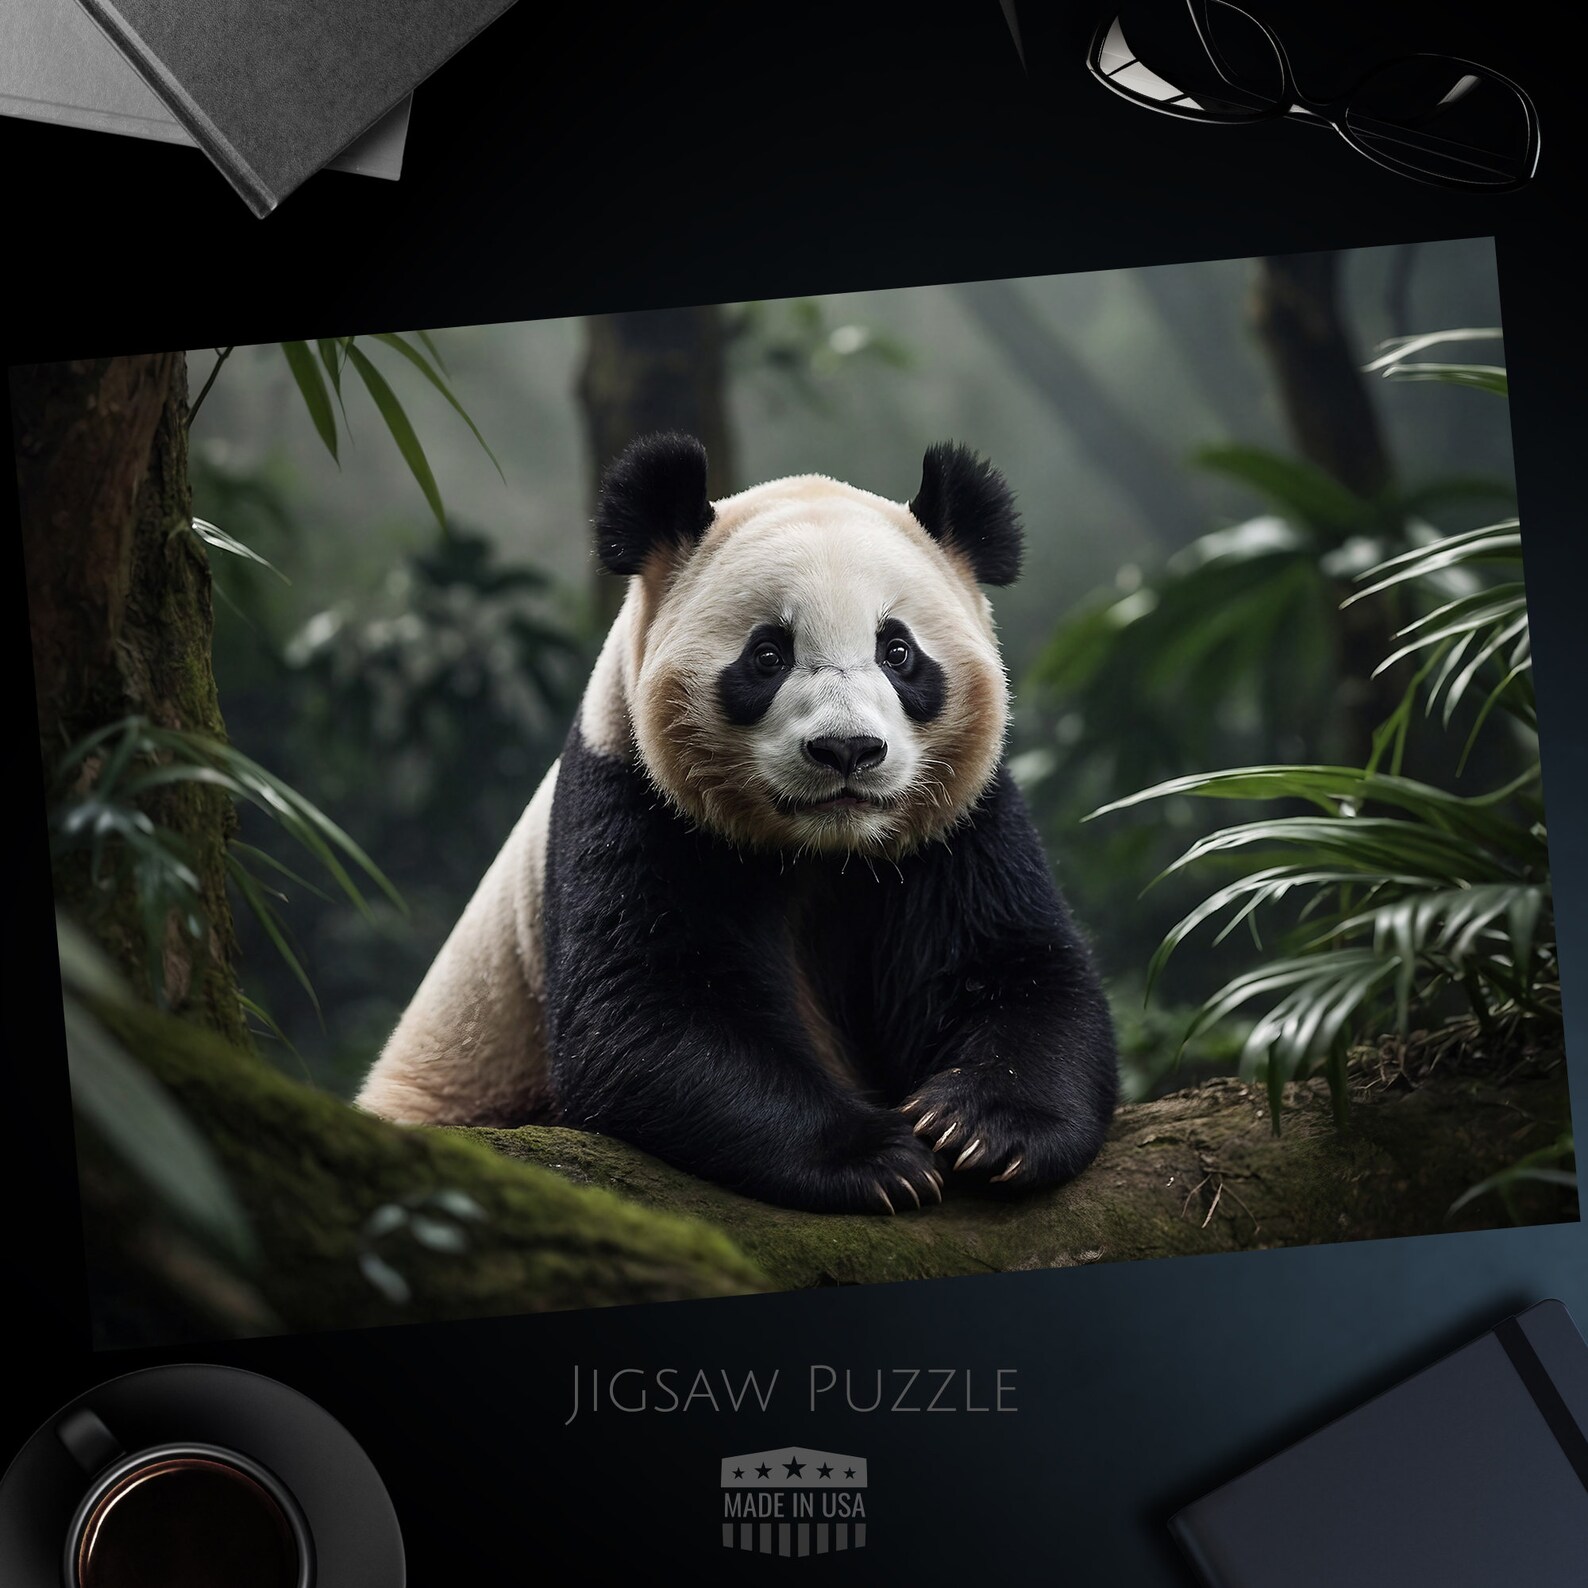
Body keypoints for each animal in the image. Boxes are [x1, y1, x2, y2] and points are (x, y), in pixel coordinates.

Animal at [356, 433, 1119, 1214]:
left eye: (898, 651)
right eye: (768, 654)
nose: (847, 750)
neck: (823, 849)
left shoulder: (959, 824)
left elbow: (1015, 968)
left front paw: (985, 1127)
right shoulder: (632, 798)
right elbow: (647, 1010)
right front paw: (876, 1158)